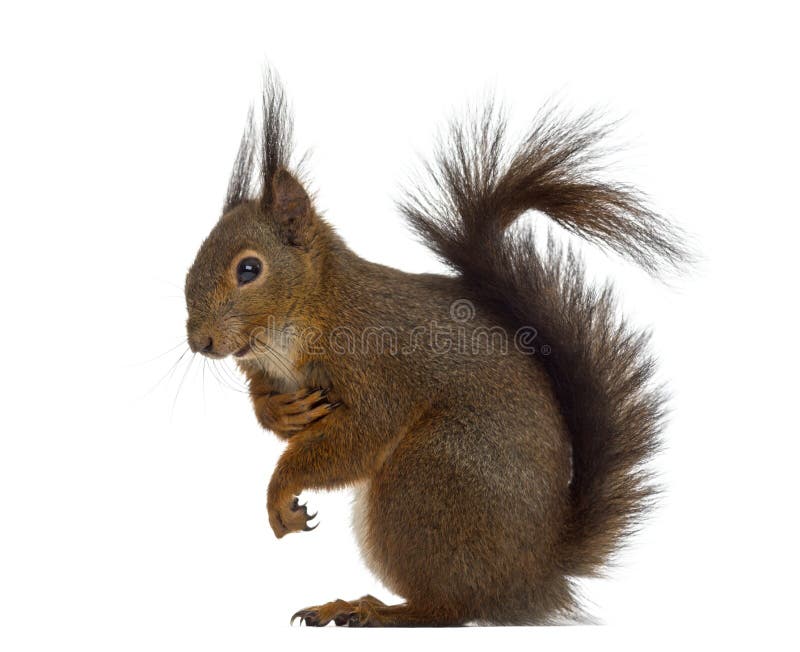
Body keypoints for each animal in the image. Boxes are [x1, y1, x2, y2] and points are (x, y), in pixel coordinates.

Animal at [184, 72, 689, 626]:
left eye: (249, 269)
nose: (199, 342)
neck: (311, 314)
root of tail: (535, 578)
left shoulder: (376, 368)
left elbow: (364, 434)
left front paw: (280, 488)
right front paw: (280, 412)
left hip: (425, 479)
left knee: (448, 608)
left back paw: (366, 610)